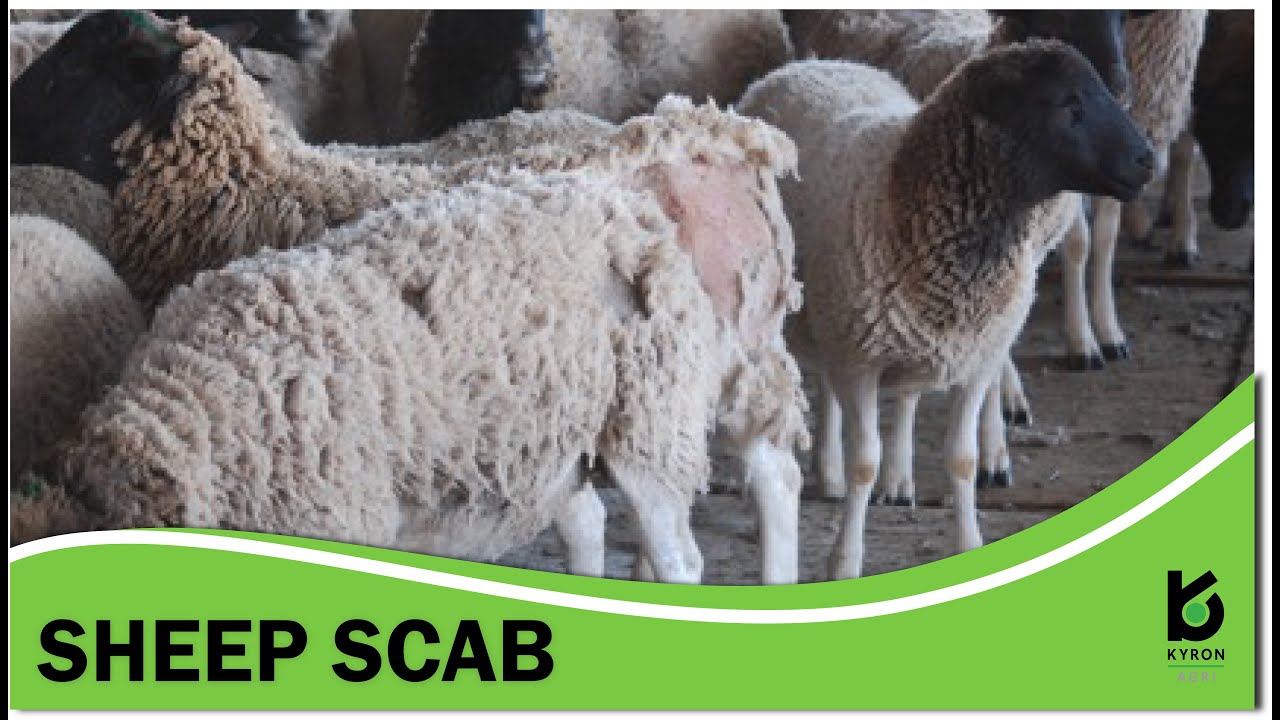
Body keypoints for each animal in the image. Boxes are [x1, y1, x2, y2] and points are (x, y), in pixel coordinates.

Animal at [737, 42, 1153, 578]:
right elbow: (863, 464)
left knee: (886, 394)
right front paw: (845, 563)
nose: (1147, 160)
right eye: (1068, 103)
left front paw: (968, 546)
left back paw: (874, 479)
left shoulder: (975, 357)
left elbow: (962, 459)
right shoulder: (859, 359)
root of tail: (810, 63)